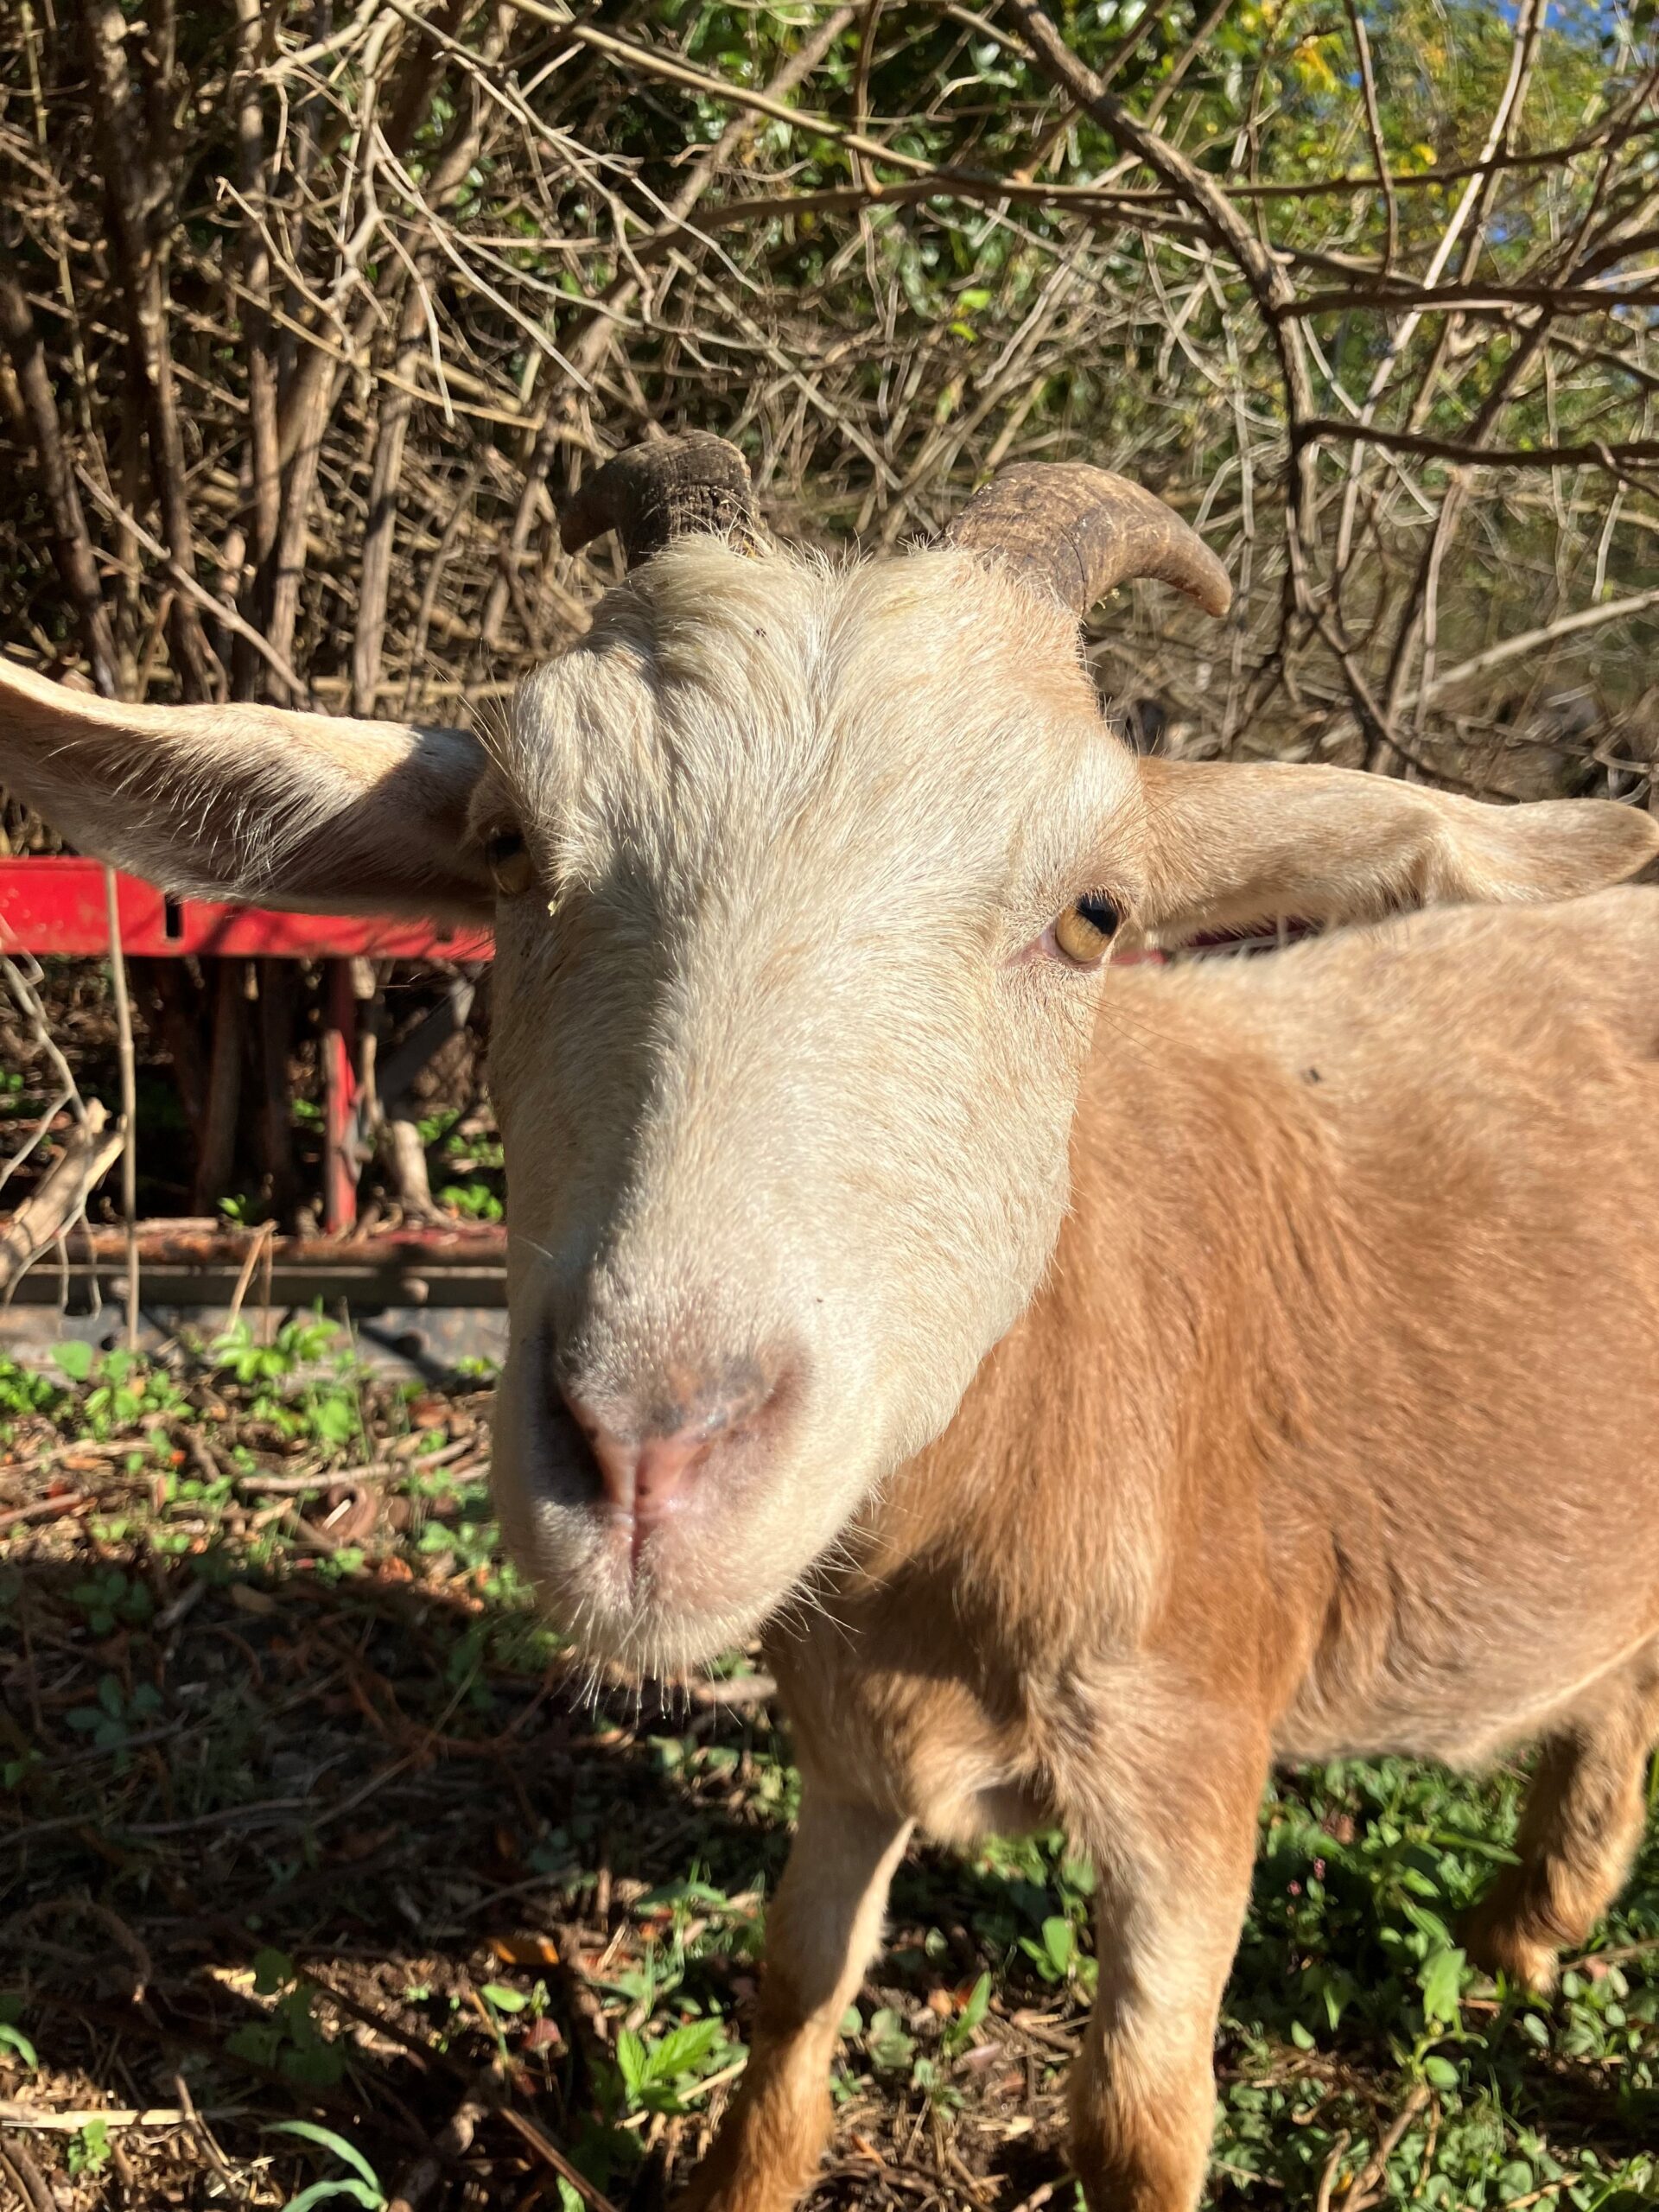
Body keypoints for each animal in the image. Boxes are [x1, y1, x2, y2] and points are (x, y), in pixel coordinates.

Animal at [3, 434, 1658, 2212]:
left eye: (1095, 912)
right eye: (508, 844)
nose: (647, 1461)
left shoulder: (1195, 1759)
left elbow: (1140, 2123)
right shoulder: (849, 1736)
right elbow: (796, 1981)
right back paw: (1525, 1932)